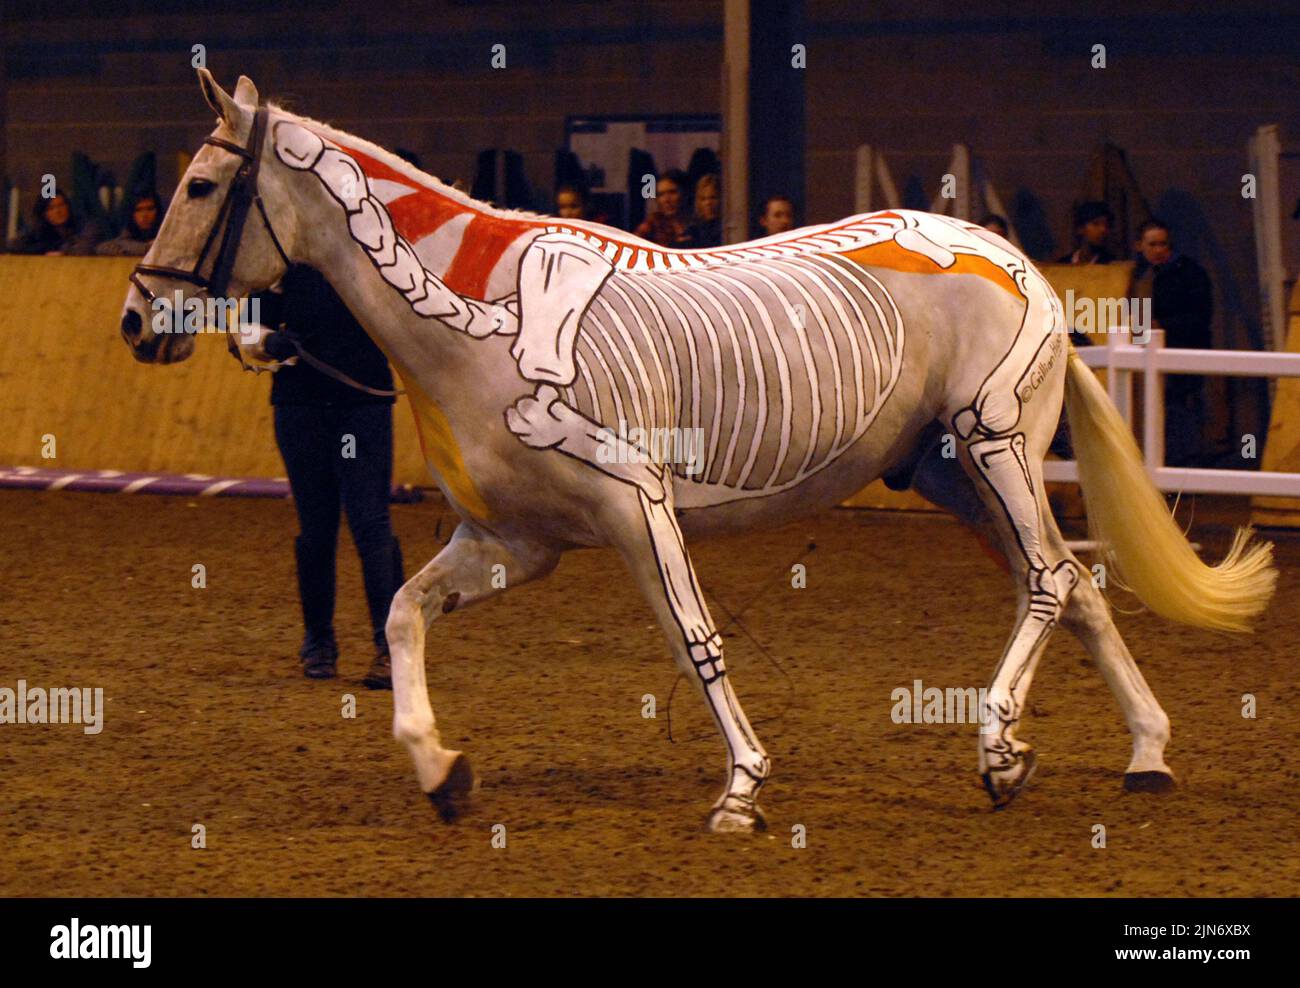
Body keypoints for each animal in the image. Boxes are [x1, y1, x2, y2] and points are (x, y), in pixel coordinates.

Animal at [119, 70, 1276, 833]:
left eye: (201, 189)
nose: (138, 322)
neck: (482, 322)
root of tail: (1017, 263)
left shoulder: (638, 509)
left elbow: (695, 641)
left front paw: (742, 790)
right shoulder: (512, 543)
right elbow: (403, 612)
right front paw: (442, 773)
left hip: (994, 447)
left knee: (1046, 579)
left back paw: (998, 749)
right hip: (953, 474)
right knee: (1076, 585)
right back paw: (1145, 755)